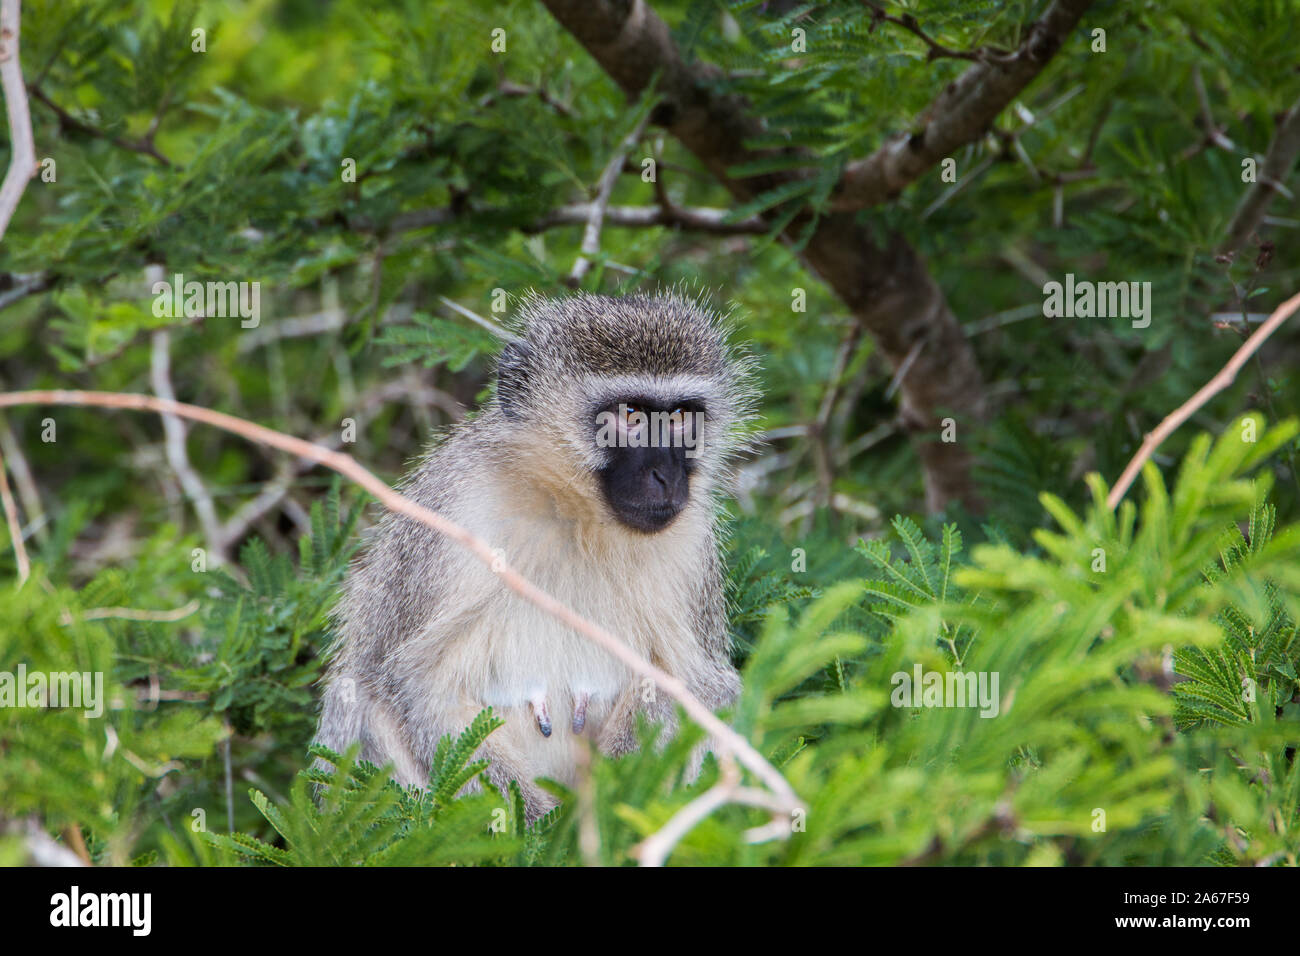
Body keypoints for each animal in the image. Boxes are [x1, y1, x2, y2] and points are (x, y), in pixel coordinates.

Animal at [314, 291, 757, 820]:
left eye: (681, 418)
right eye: (630, 415)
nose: (667, 477)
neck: (574, 514)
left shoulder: (691, 541)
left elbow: (694, 684)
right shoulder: (459, 508)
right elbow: (413, 682)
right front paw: (543, 827)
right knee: (358, 700)